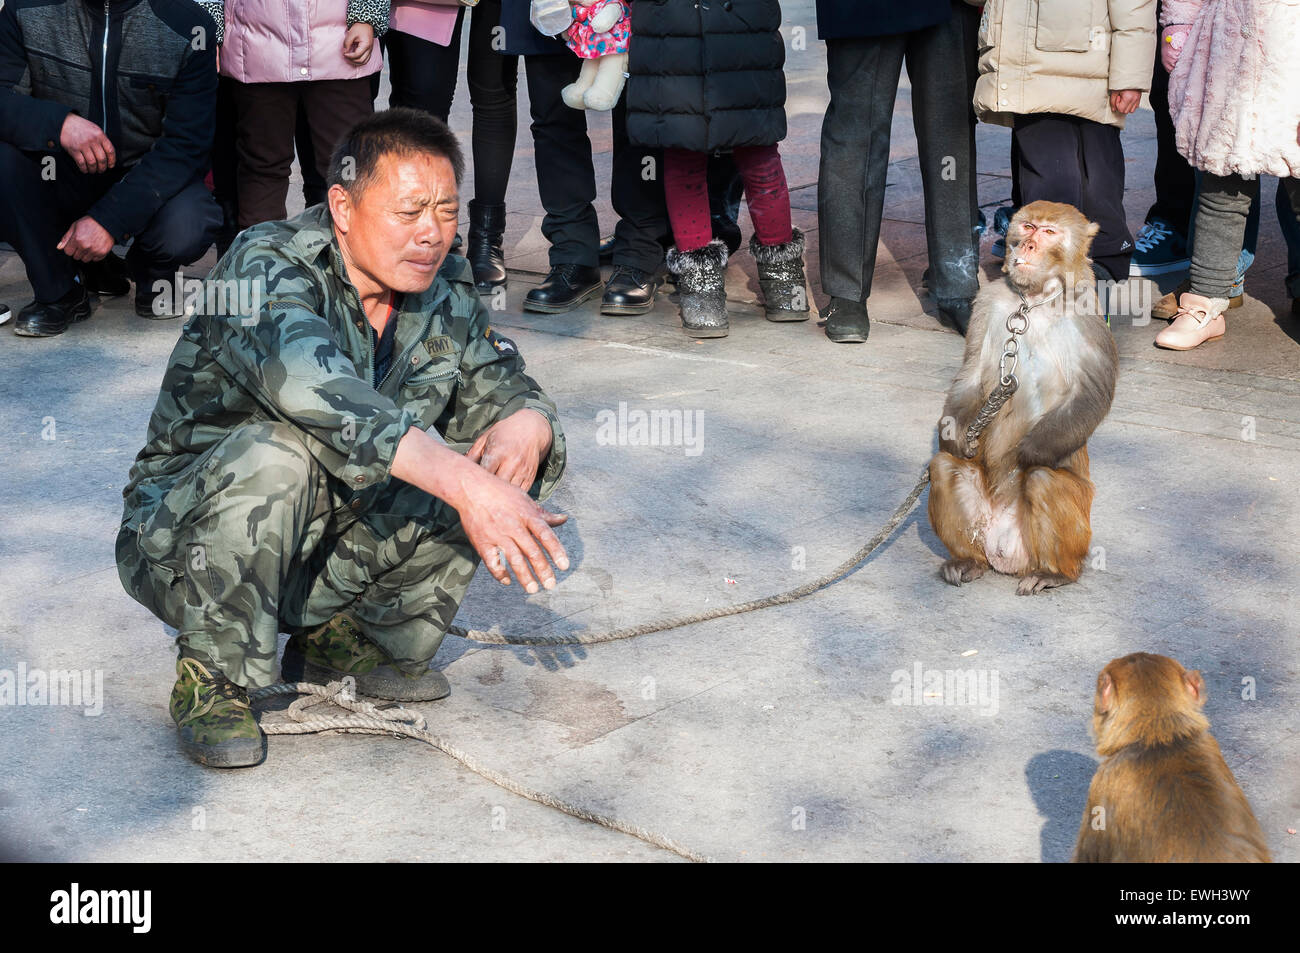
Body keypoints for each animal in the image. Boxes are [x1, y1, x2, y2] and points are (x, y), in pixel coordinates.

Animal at [927, 200, 1119, 595]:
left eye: (1048, 232)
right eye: (1028, 227)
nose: (1028, 245)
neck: (1031, 303)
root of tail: (1007, 557)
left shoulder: (1089, 315)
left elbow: (1092, 394)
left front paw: (1030, 452)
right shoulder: (987, 301)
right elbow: (971, 373)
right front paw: (955, 437)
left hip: (1075, 537)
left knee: (1043, 481)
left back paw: (1054, 573)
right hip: (985, 532)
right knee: (944, 467)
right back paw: (968, 561)